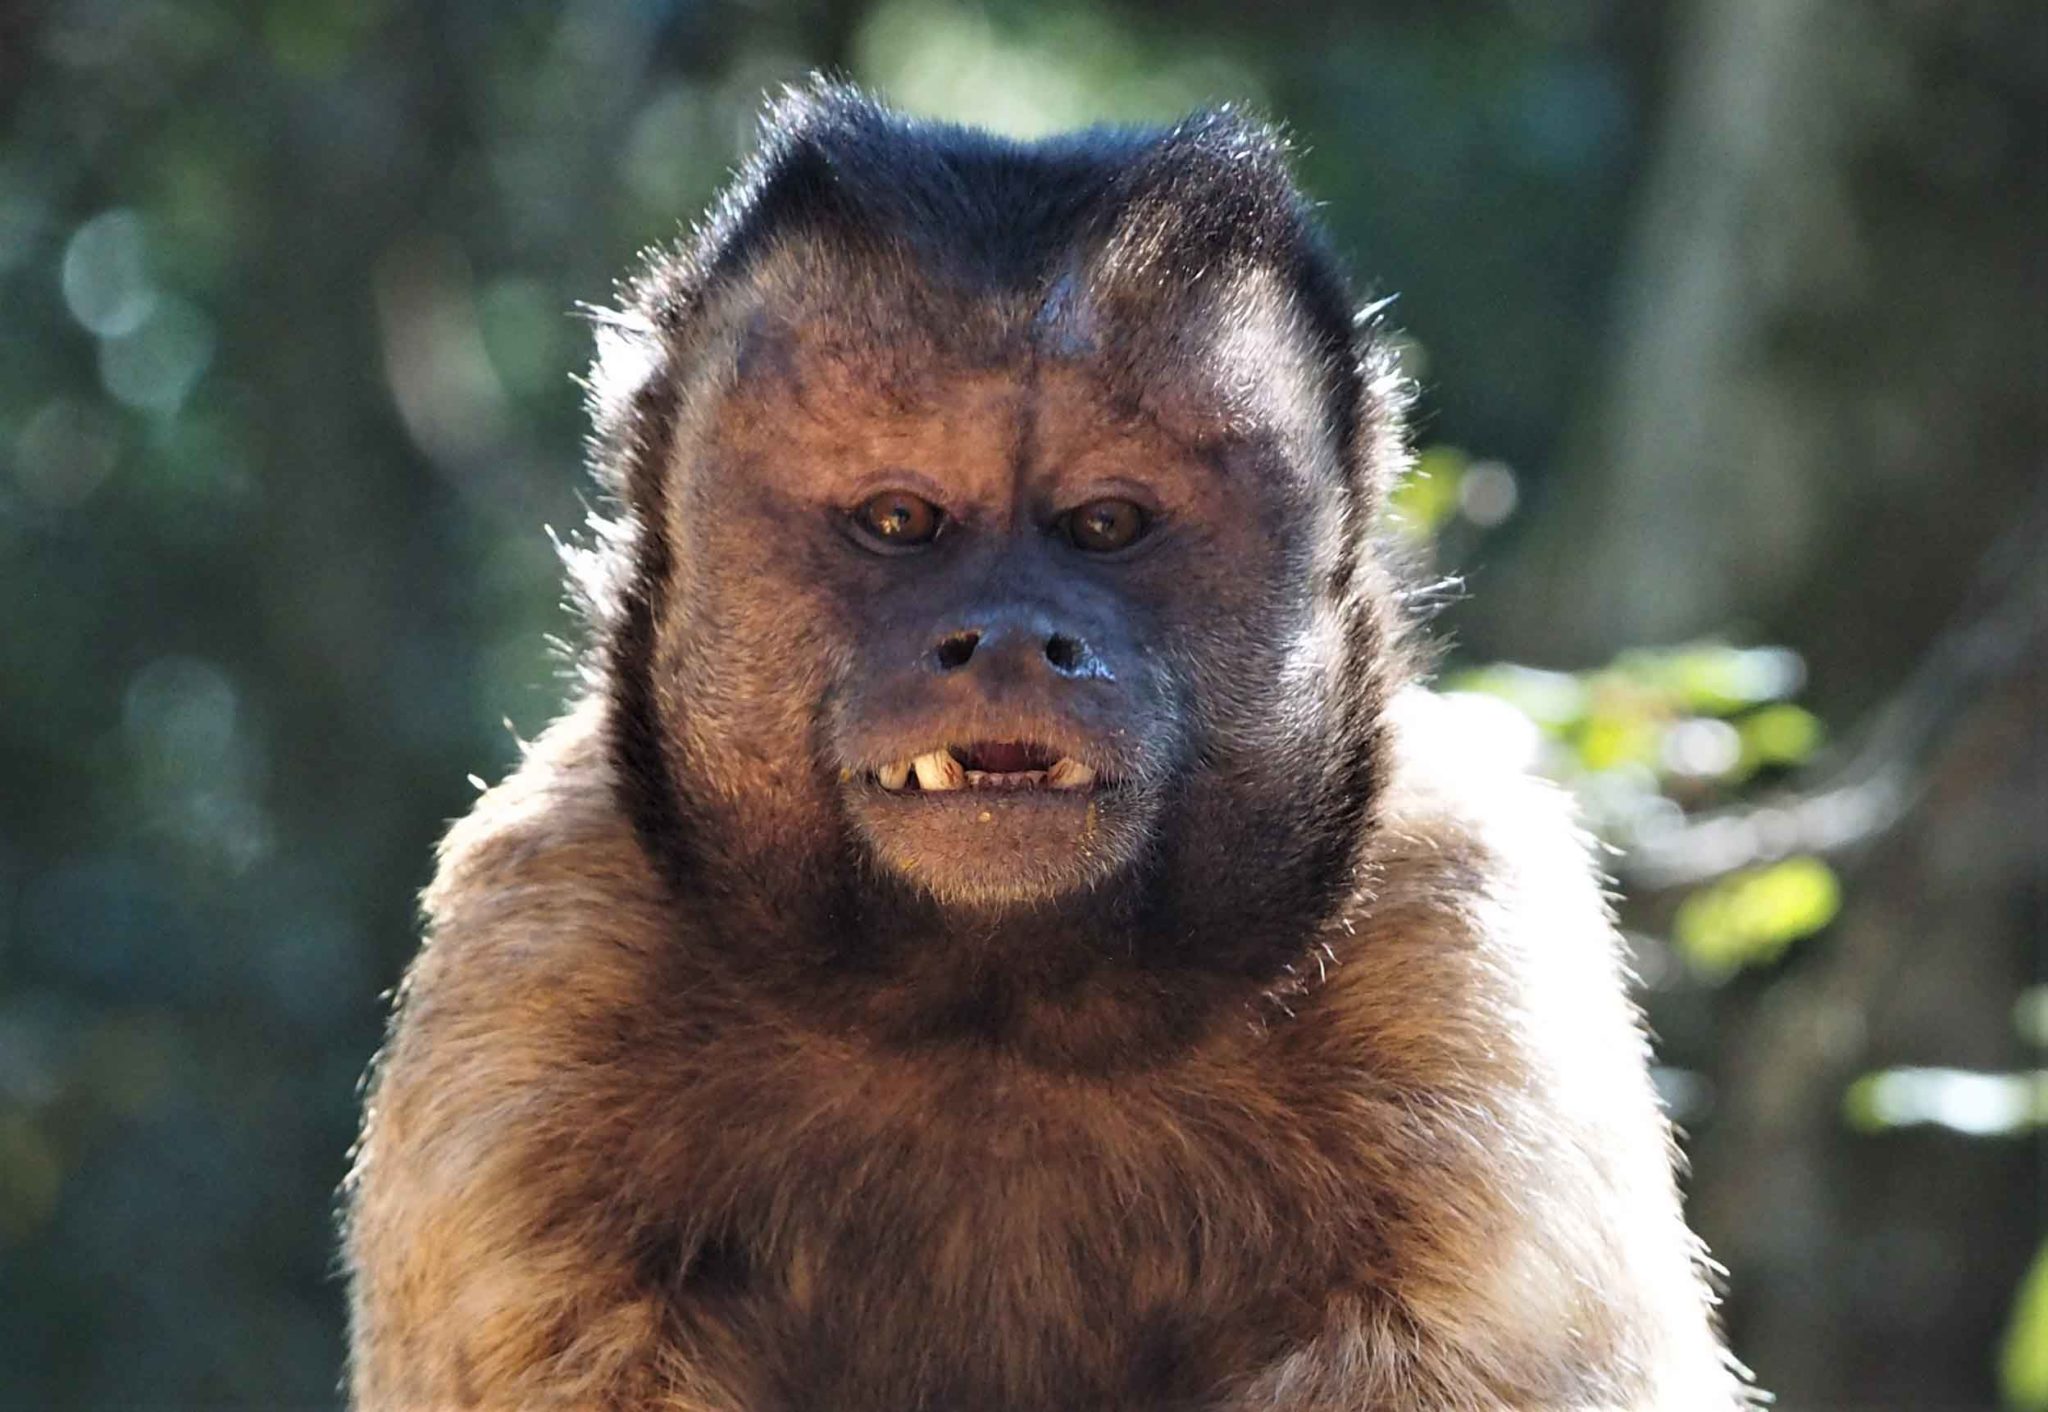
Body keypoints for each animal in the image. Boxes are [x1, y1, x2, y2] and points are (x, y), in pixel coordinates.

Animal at [342, 82, 1750, 1411]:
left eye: (1105, 523)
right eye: (900, 519)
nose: (1014, 638)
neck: (996, 1013)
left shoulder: (1452, 913)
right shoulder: (541, 929)